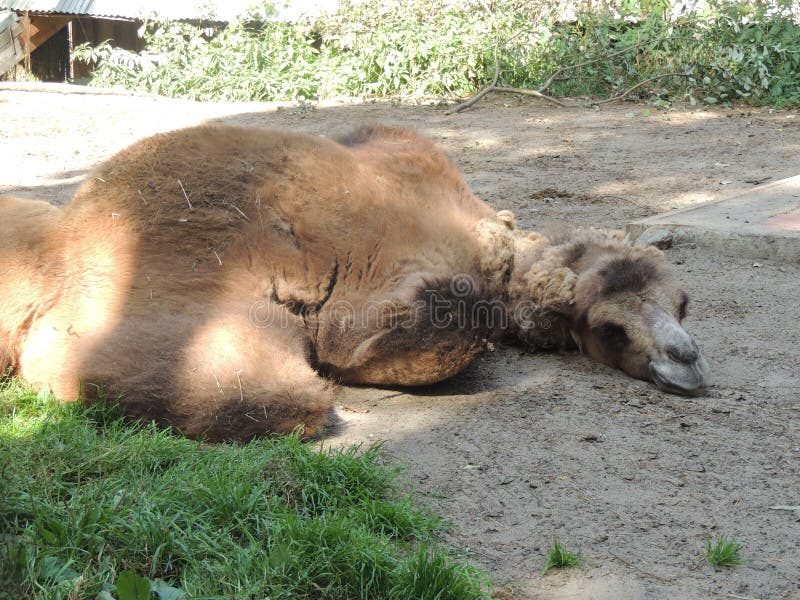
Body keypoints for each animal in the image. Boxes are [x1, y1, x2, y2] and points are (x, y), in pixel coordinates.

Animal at [0, 124, 709, 440]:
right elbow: (434, 326)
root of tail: (67, 246)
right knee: (259, 394)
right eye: (610, 329)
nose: (688, 361)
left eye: (683, 301)